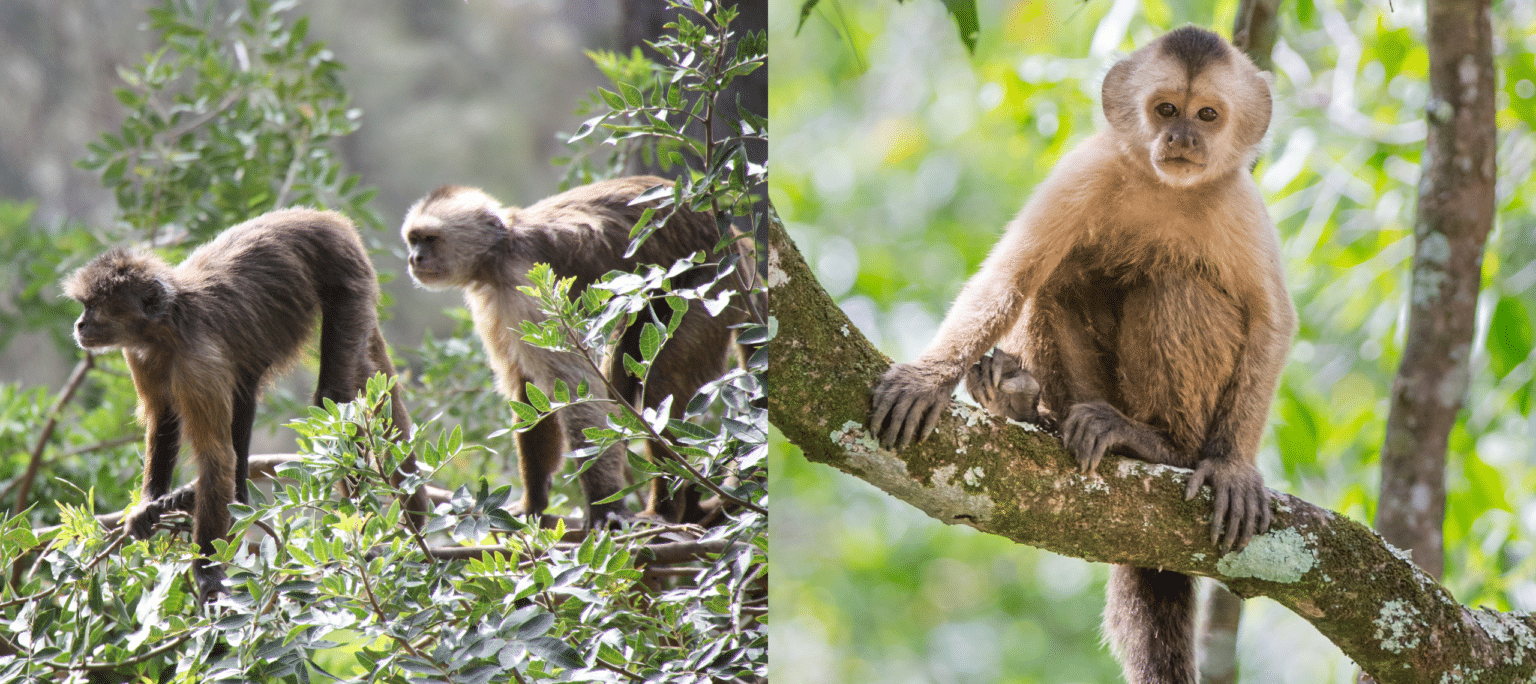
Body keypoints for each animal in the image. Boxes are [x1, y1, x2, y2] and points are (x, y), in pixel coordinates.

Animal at [62, 208, 428, 601]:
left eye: (94, 308)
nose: (80, 324)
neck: (168, 326)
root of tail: (324, 219)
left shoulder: (196, 360)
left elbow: (216, 458)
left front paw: (207, 573)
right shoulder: (140, 355)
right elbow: (164, 420)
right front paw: (148, 505)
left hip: (346, 279)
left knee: (332, 396)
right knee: (246, 387)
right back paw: (230, 499)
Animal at [400, 176, 750, 528]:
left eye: (430, 239)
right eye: (413, 241)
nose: (414, 259)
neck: (500, 252)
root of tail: (733, 243)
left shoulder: (524, 285)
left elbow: (571, 385)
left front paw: (605, 507)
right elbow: (529, 390)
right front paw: (533, 503)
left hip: (713, 284)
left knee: (661, 378)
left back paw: (666, 508)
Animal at [867, 27, 1295, 684]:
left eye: (1207, 115)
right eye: (1165, 110)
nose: (1181, 139)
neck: (1164, 190)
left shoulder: (1241, 205)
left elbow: (1272, 323)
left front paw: (1229, 466)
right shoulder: (1085, 170)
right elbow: (1010, 278)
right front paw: (927, 377)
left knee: (1175, 284)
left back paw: (1159, 444)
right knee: (1059, 278)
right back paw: (1022, 403)